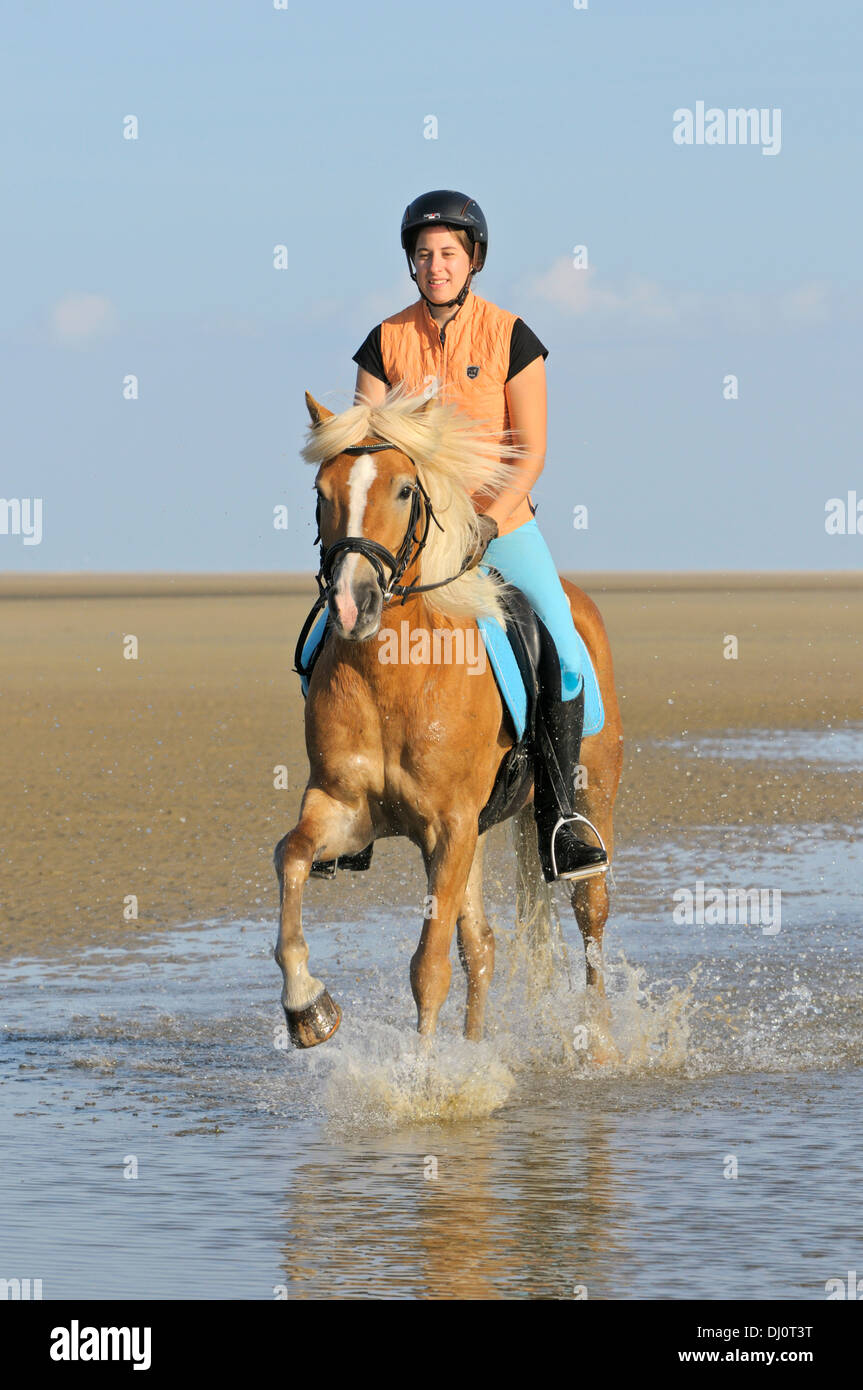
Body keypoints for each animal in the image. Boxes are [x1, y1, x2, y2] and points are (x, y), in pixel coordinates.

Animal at [273, 388, 623, 1050]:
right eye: (321, 491)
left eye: (405, 489)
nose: (352, 604)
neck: (395, 675)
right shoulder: (346, 808)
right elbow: (292, 857)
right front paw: (308, 1007)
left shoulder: (449, 827)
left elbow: (428, 968)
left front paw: (424, 1072)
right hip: (478, 834)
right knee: (481, 946)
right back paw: (477, 1048)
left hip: (587, 799)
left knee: (591, 916)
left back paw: (599, 1046)